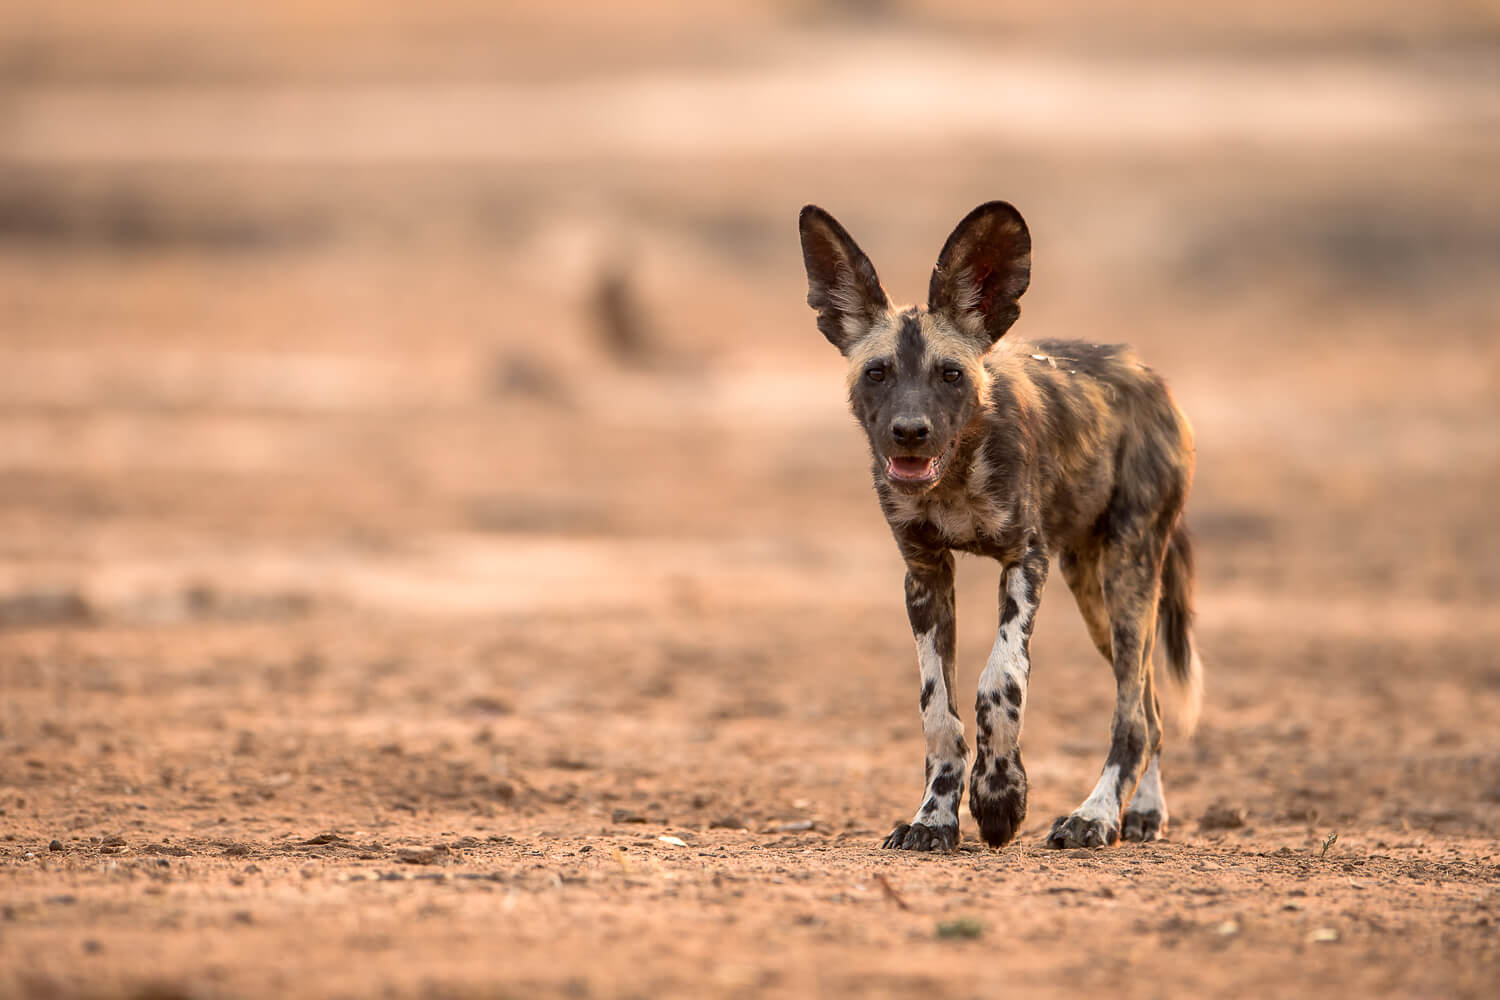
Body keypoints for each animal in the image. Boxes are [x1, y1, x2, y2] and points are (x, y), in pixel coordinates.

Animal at [798, 201, 1201, 851]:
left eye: (951, 375)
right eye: (878, 373)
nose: (909, 432)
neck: (955, 479)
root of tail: (1149, 376)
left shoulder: (1024, 561)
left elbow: (1000, 681)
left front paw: (999, 798)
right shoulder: (924, 575)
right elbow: (937, 710)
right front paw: (933, 818)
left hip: (1128, 575)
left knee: (1133, 715)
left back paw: (1096, 816)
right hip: (1094, 593)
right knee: (1150, 704)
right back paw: (1140, 811)